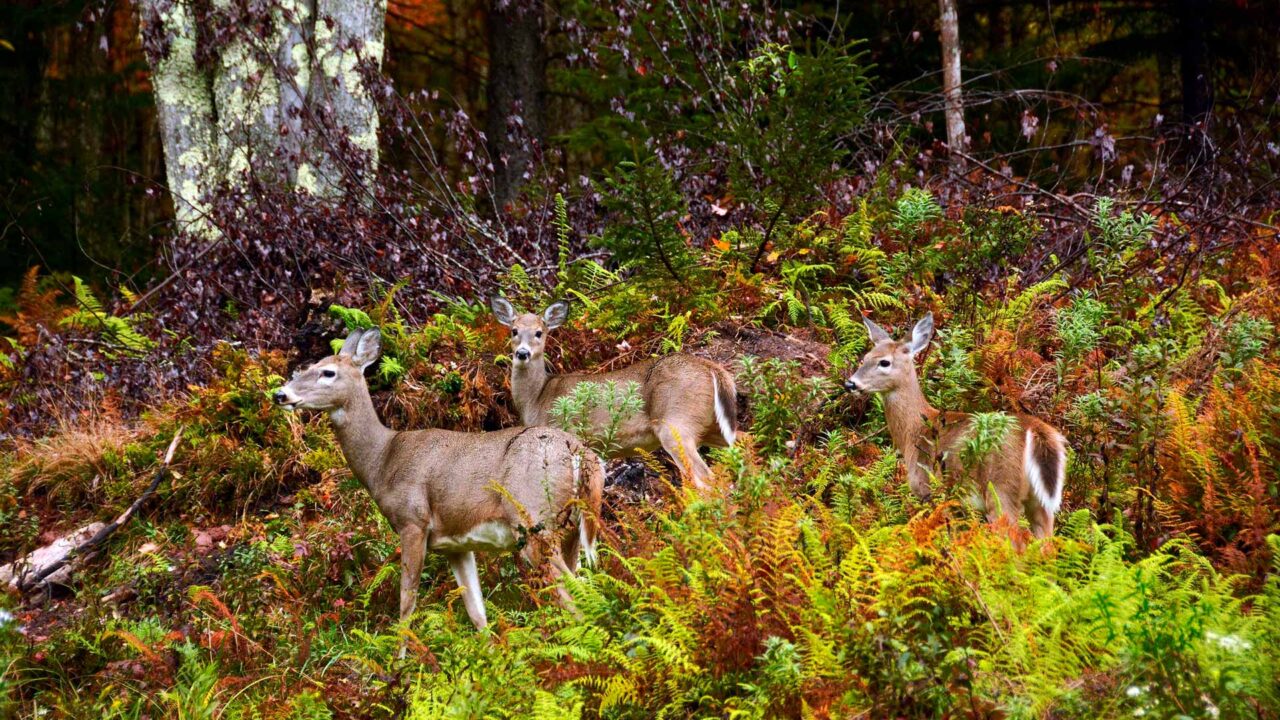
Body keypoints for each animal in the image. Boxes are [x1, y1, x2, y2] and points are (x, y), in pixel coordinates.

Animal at [273, 328, 604, 638]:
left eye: (327, 372)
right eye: (306, 367)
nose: (280, 394)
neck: (383, 460)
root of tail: (581, 453)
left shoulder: (412, 522)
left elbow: (406, 604)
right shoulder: (455, 544)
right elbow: (477, 613)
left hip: (534, 520)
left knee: (576, 597)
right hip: (569, 529)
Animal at [489, 297, 737, 491]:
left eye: (539, 333)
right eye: (514, 331)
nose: (522, 353)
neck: (537, 398)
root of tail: (712, 369)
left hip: (676, 423)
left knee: (707, 480)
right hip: (712, 428)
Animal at [844, 313, 1067, 539]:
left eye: (884, 362)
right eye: (865, 357)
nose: (850, 383)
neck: (914, 431)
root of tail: (1037, 431)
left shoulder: (930, 490)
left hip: (1001, 488)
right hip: (1040, 503)